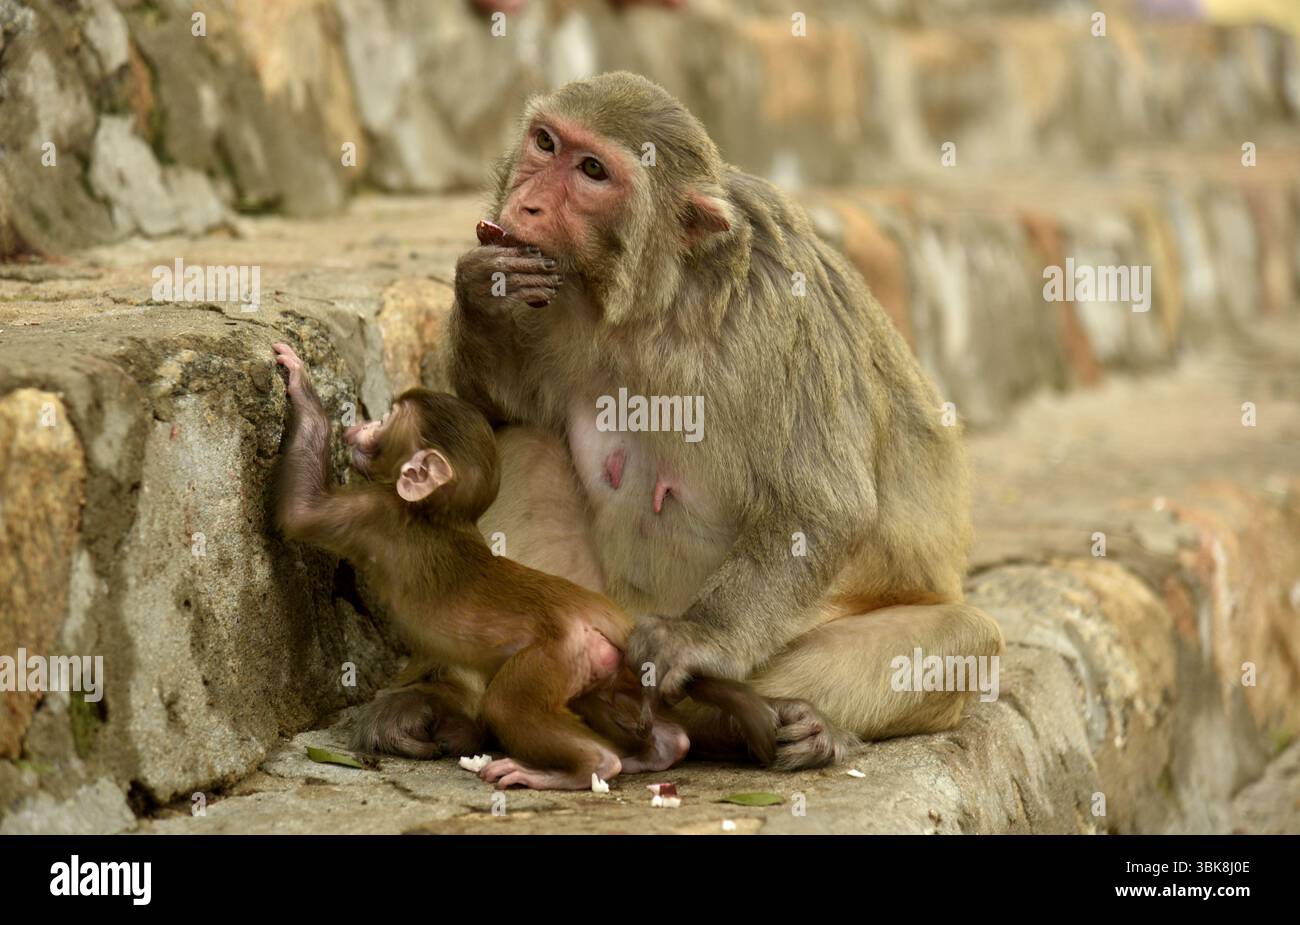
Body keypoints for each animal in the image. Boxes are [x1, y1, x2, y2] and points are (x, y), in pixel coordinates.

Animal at [269, 342, 779, 789]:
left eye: (389, 421)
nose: (363, 424)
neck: (440, 514)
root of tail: (600, 611)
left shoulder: (377, 514)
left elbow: (300, 512)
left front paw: (302, 388)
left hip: (556, 655)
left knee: (506, 704)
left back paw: (581, 768)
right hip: (601, 668)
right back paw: (656, 750)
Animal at [443, 71, 1005, 770]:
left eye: (593, 170)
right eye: (545, 142)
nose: (527, 208)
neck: (654, 301)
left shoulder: (778, 309)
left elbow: (821, 506)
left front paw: (697, 638)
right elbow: (500, 411)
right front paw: (483, 290)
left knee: (966, 636)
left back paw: (799, 727)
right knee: (526, 448)